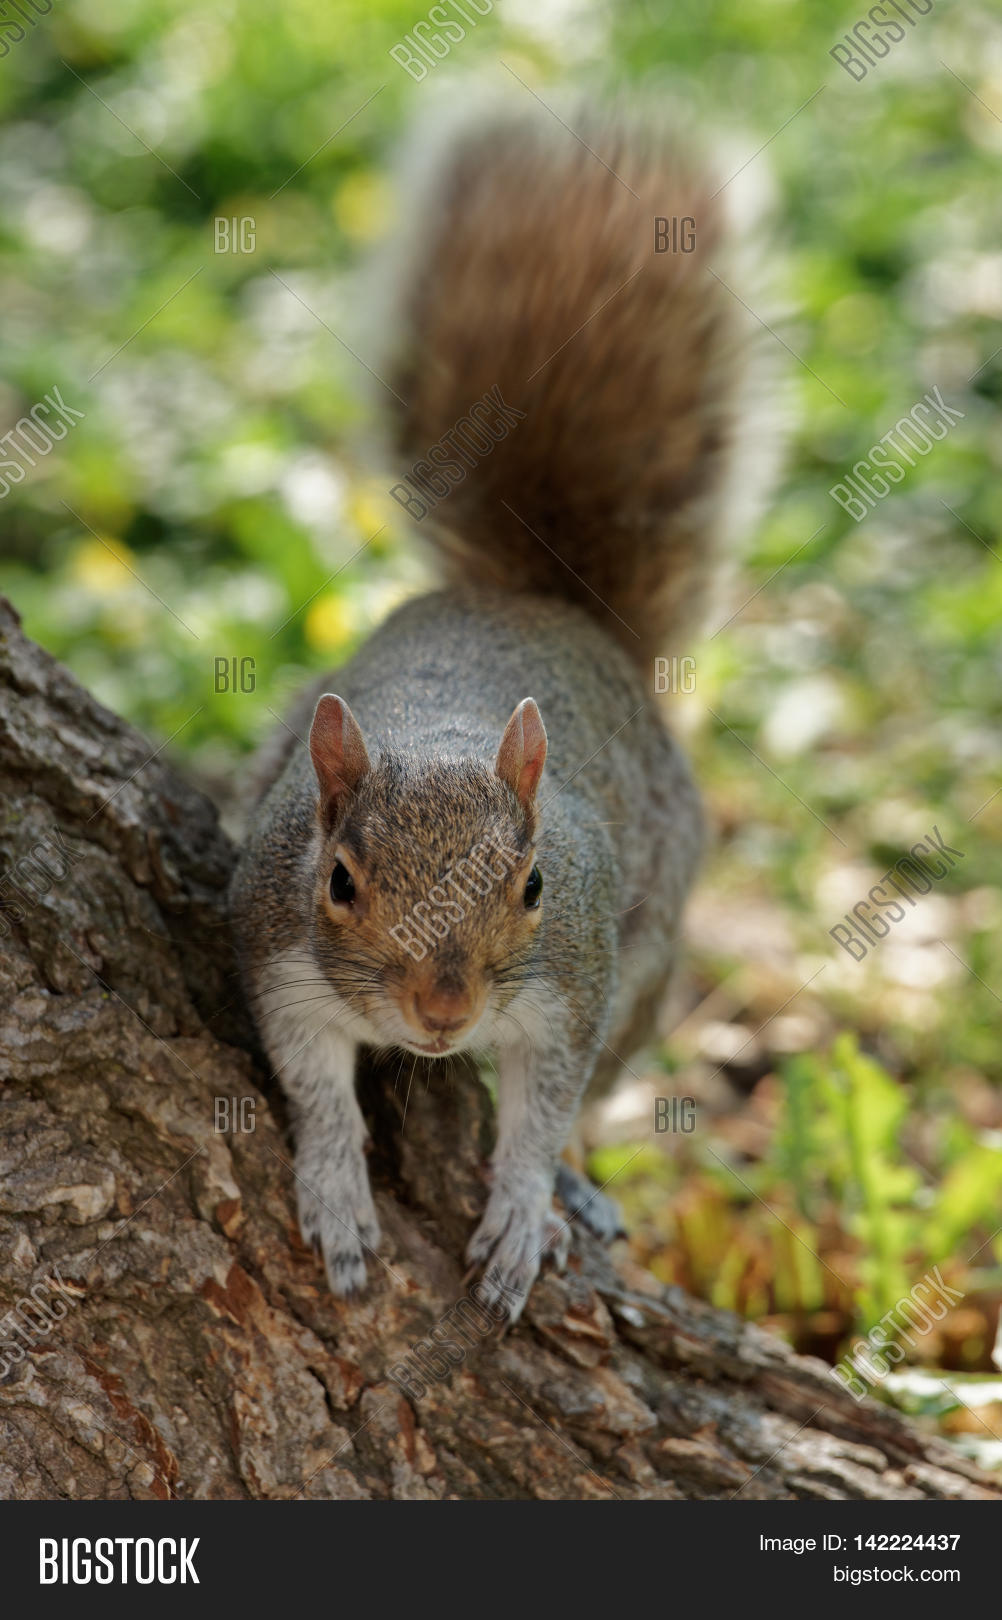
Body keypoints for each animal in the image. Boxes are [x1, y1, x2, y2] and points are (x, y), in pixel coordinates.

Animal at [230, 99, 768, 1320]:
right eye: (340, 881)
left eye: (532, 886)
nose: (443, 1014)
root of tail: (545, 605)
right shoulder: (279, 957)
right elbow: (314, 1087)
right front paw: (337, 1192)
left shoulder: (572, 981)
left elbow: (548, 1105)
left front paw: (524, 1204)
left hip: (649, 956)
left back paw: (575, 1192)